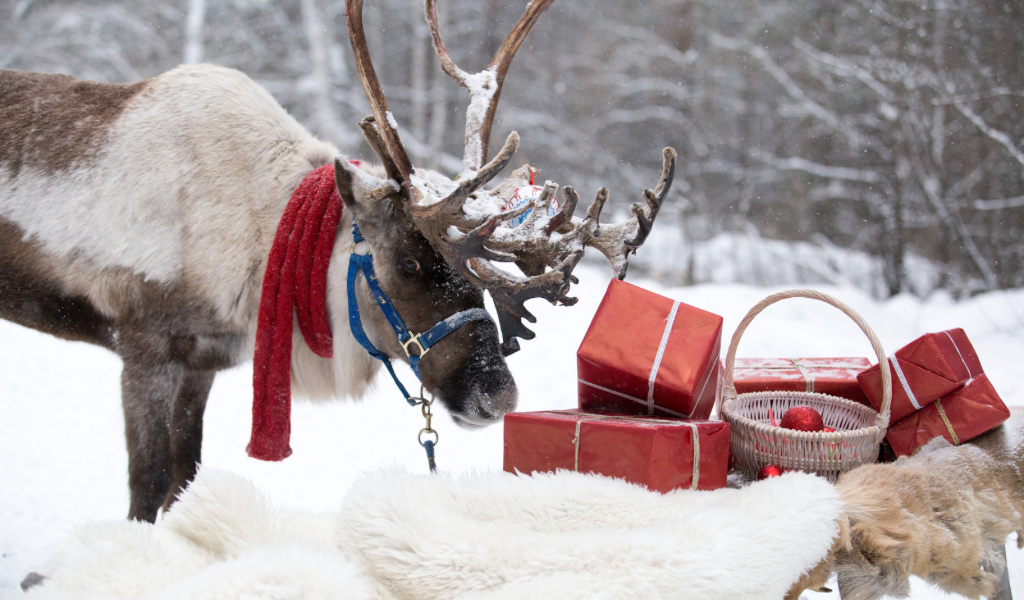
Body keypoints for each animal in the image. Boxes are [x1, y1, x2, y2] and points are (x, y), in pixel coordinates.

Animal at [0, 0, 676, 523]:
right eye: (409, 265)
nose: (498, 396)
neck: (256, 235)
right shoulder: (145, 347)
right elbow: (146, 488)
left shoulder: (200, 360)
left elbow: (182, 479)